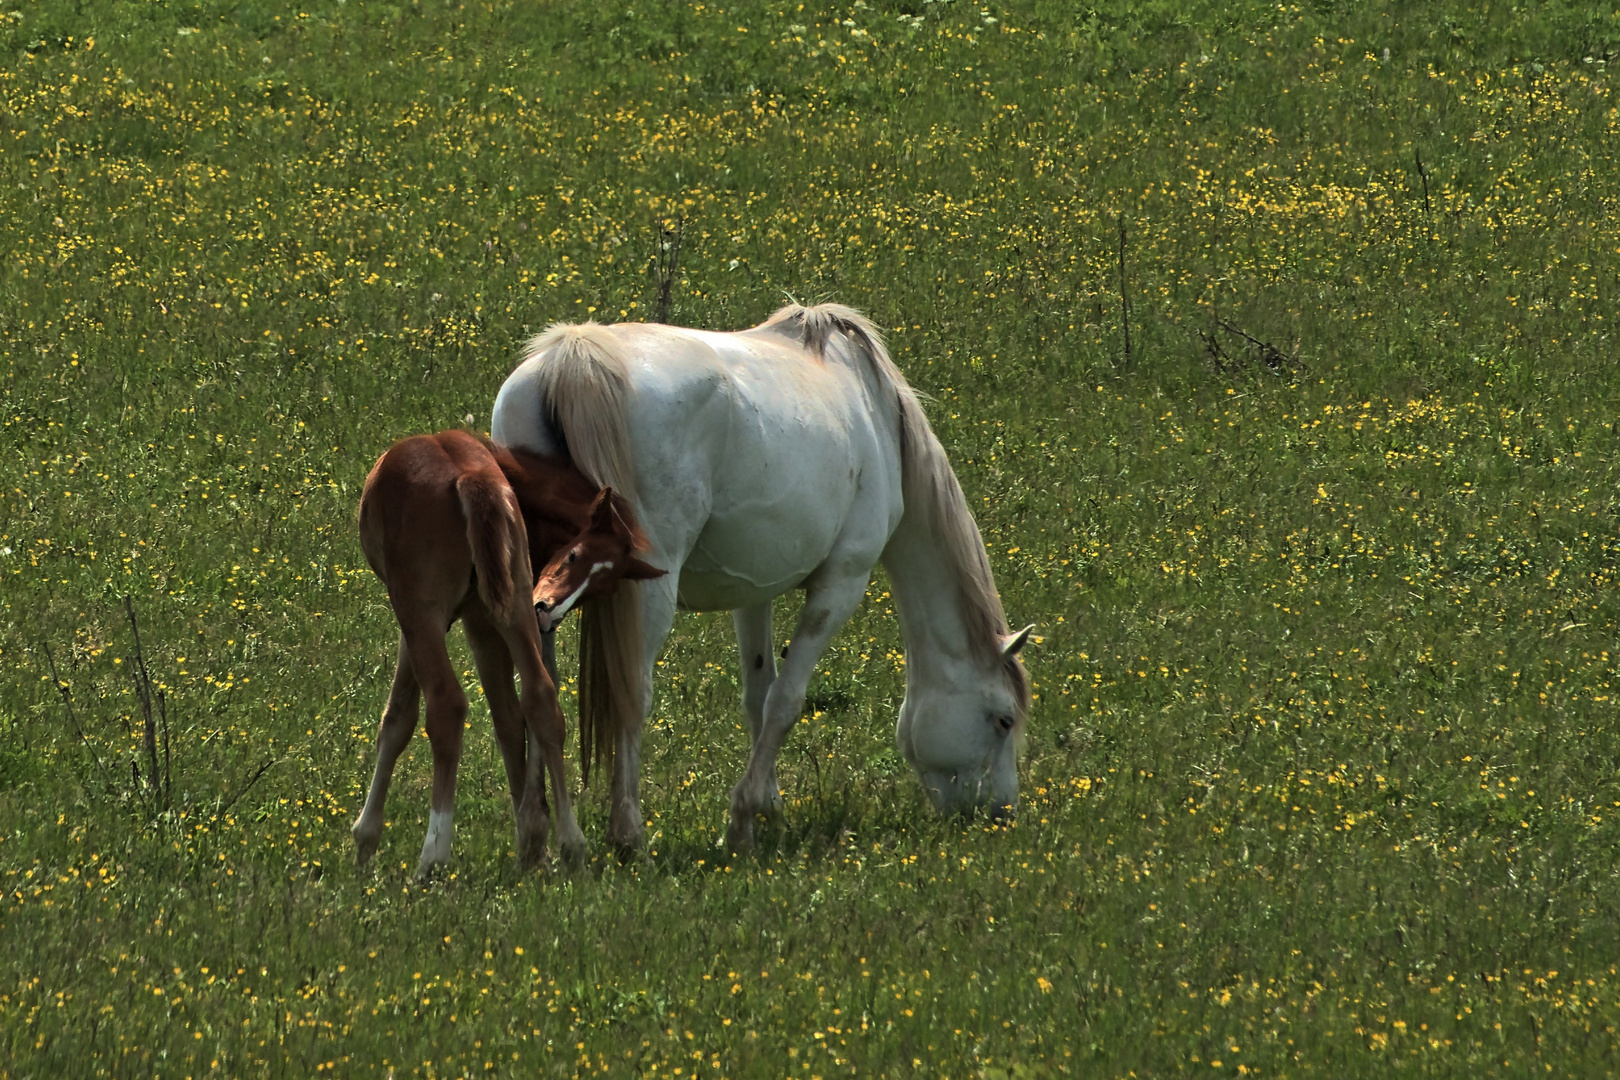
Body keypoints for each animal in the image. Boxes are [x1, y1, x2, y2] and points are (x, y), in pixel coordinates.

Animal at [353, 427, 657, 874]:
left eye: (602, 585)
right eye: (574, 555)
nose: (549, 612)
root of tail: (470, 478)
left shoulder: (439, 618)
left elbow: (397, 720)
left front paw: (365, 838)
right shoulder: (481, 615)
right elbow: (511, 721)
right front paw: (532, 840)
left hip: (423, 613)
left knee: (447, 707)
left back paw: (433, 856)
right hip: (513, 606)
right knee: (543, 698)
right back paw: (571, 842)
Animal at [486, 304, 1030, 854]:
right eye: (1004, 719)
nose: (1000, 815)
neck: (875, 412)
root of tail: (575, 355)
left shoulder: (752, 591)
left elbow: (757, 693)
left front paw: (764, 812)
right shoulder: (841, 585)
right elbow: (785, 701)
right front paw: (744, 815)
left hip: (540, 592)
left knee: (541, 691)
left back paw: (542, 837)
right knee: (632, 690)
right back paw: (627, 834)